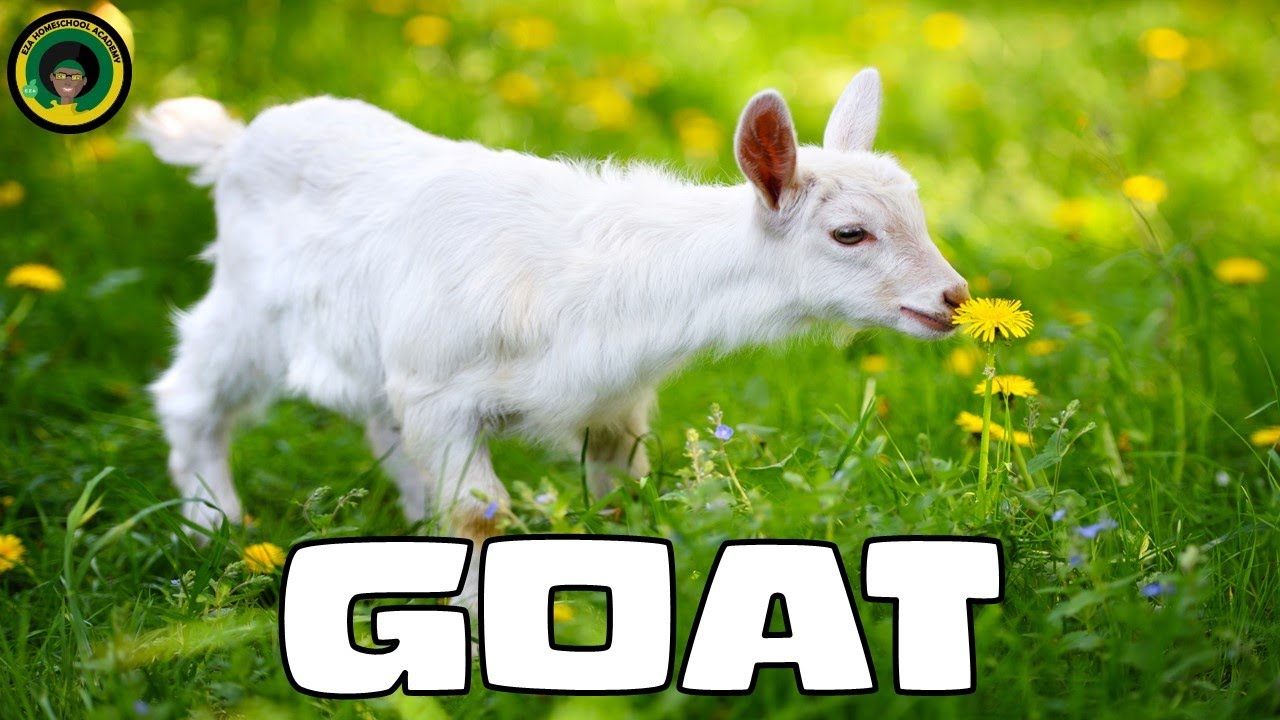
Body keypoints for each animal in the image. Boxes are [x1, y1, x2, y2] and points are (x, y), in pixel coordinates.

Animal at [135, 68, 968, 605]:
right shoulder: (440, 392)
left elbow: (618, 502)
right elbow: (479, 516)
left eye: (917, 213)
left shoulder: (612, 405)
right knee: (190, 394)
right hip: (249, 306)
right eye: (850, 233)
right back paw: (213, 525)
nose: (953, 298)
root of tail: (233, 143)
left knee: (380, 424)